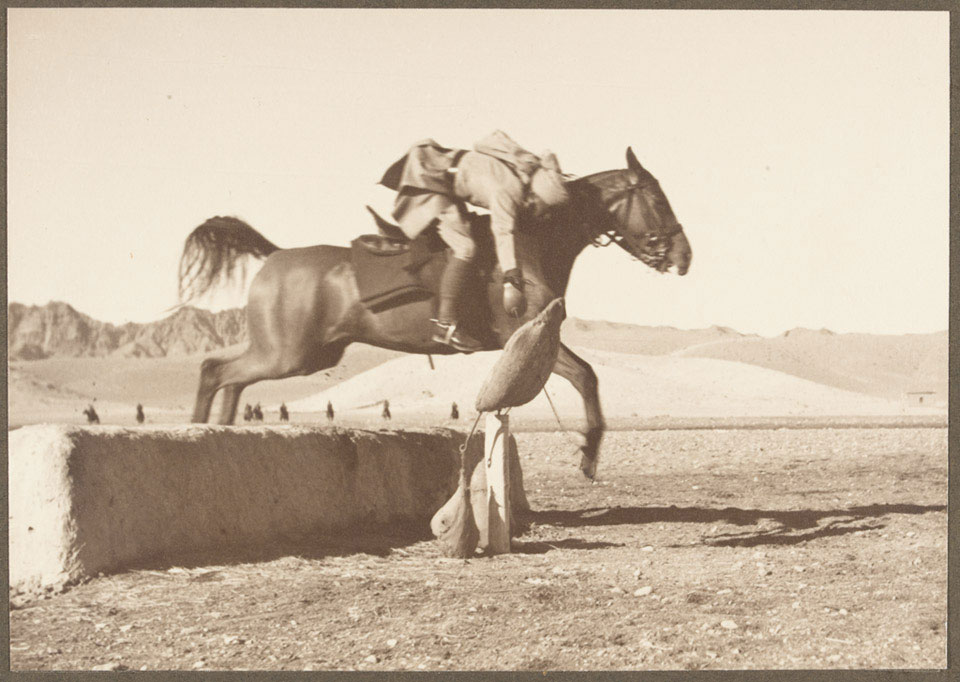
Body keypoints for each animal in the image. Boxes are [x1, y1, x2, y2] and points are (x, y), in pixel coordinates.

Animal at [178, 148, 691, 480]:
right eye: (657, 198)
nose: (684, 257)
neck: (534, 240)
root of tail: (275, 256)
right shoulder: (526, 336)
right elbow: (586, 376)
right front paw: (588, 455)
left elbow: (586, 377)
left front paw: (588, 451)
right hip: (291, 354)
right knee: (214, 370)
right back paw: (199, 429)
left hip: (308, 354)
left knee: (230, 378)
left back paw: (216, 429)